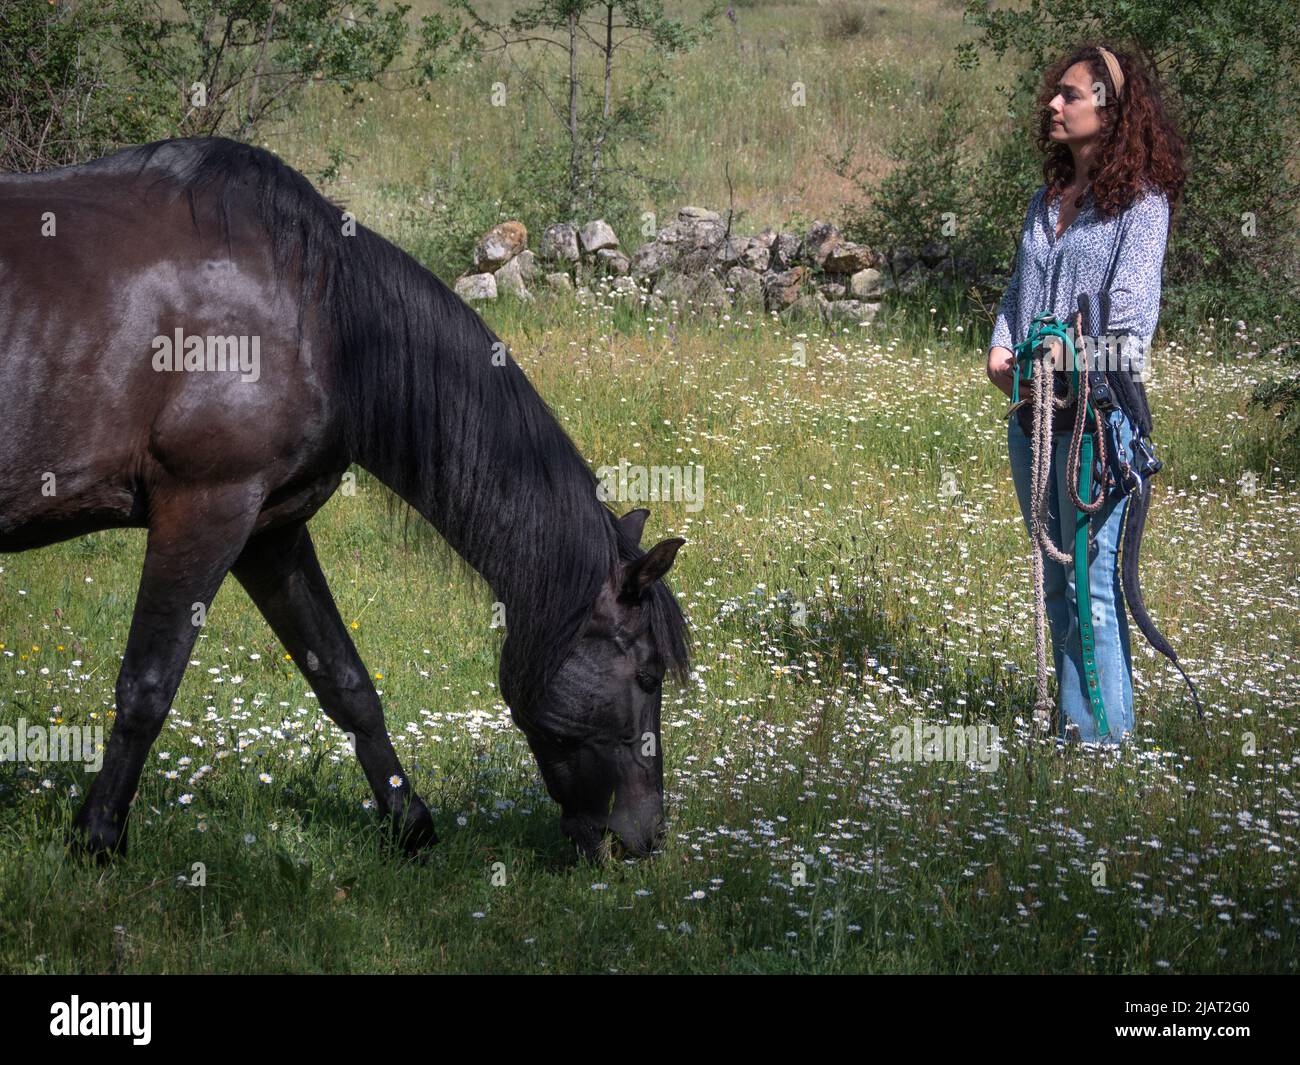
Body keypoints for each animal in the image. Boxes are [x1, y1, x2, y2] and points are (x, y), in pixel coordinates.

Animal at [0, 137, 690, 862]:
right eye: (647, 674)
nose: (645, 838)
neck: (315, 313)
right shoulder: (203, 511)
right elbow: (146, 686)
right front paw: (97, 837)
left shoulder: (268, 532)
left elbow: (346, 682)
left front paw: (411, 825)